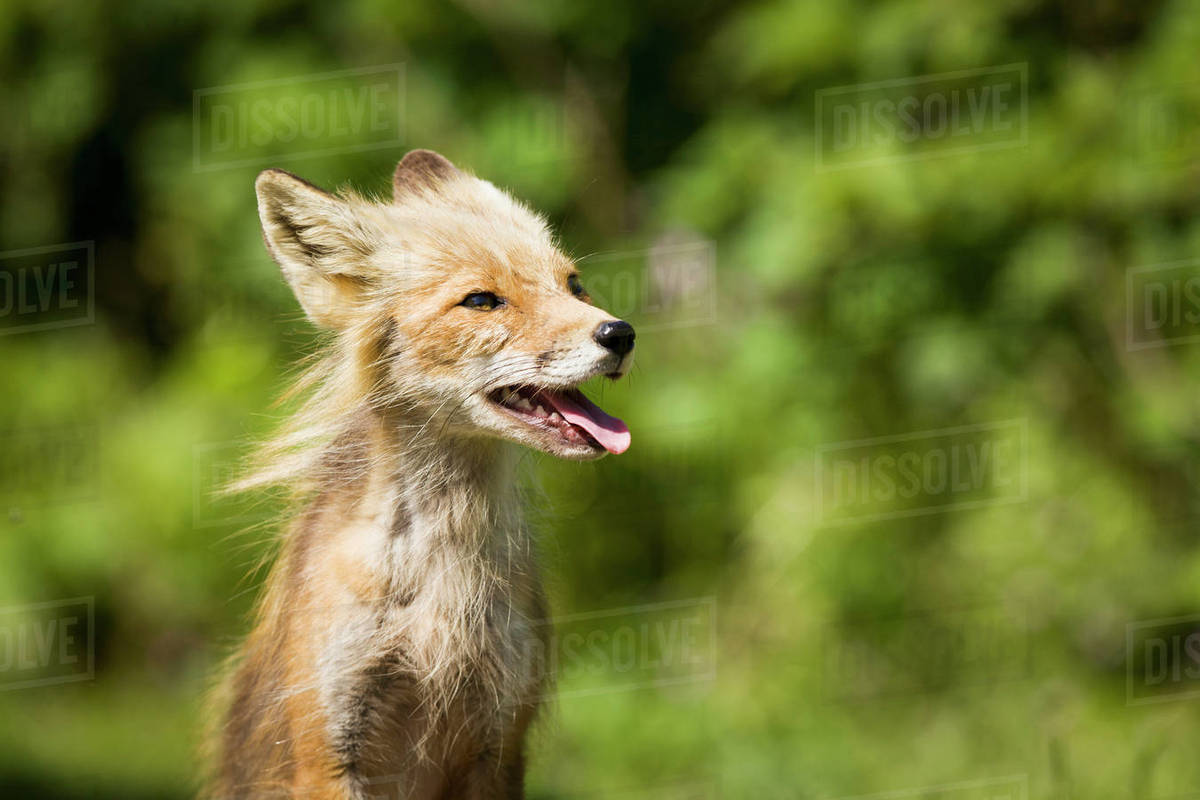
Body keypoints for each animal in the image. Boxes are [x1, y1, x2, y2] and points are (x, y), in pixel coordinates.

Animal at [205, 149, 635, 799]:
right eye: (481, 301)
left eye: (574, 285)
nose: (620, 334)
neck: (439, 596)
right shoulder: (327, 747)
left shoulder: (499, 742)